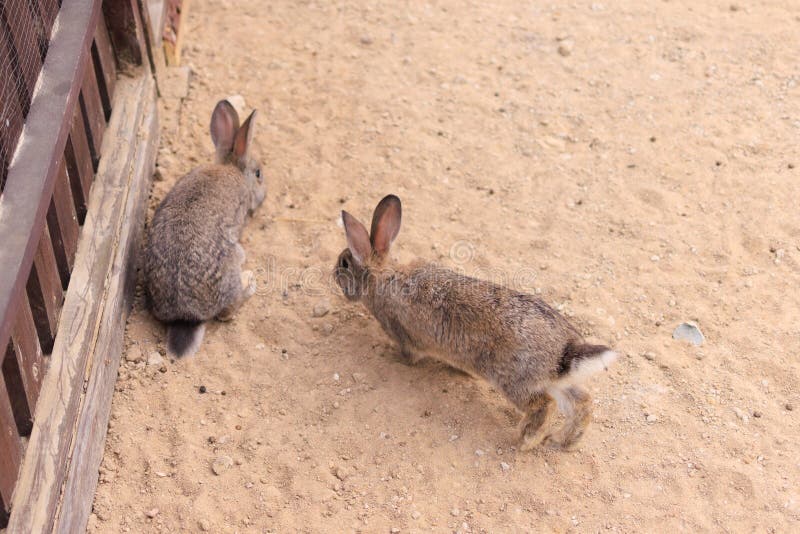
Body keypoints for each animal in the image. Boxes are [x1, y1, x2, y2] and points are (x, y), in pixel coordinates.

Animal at [144, 99, 266, 358]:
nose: (265, 194)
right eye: (259, 173)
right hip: (230, 265)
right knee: (228, 311)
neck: (233, 169)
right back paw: (249, 284)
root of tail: (187, 316)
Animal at [334, 195, 617, 450]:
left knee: (543, 405)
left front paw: (388, 356)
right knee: (582, 403)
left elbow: (409, 355)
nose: (333, 273)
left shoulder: (402, 335)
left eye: (345, 263)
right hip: (557, 382)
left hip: (513, 379)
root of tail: (564, 349)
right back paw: (562, 442)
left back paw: (526, 441)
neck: (382, 276)